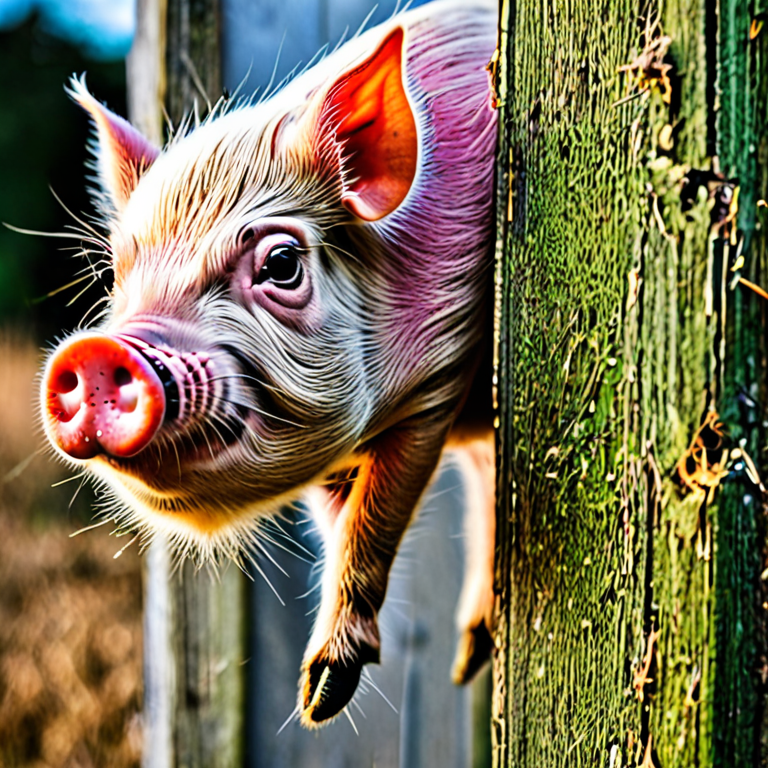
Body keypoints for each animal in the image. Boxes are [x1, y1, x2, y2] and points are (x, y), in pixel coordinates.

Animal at [40, 0, 498, 727]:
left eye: (281, 263)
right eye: (116, 274)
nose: (95, 351)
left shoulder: (438, 372)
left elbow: (372, 520)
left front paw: (317, 700)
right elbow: (336, 523)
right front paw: (320, 698)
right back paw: (468, 659)